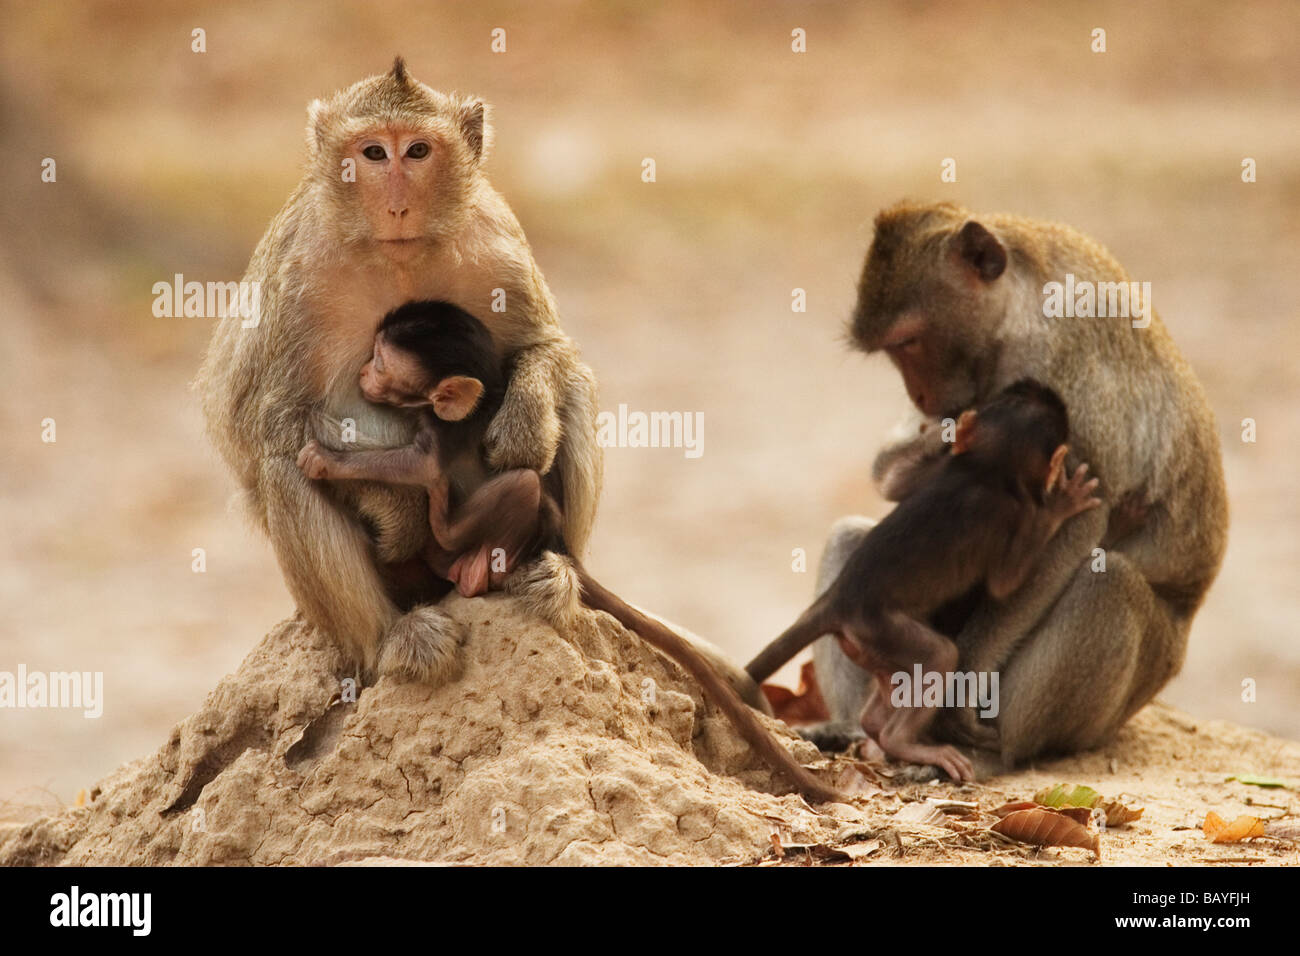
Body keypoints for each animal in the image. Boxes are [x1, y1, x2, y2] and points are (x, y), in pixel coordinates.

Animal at [195, 58, 603, 686]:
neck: (398, 254)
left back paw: (554, 575)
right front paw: (401, 512)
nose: (397, 205)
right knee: (283, 468)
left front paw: (524, 426)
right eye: (372, 153)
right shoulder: (298, 278)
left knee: (574, 389)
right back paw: (393, 638)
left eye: (416, 151)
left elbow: (545, 346)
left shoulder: (499, 244)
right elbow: (271, 426)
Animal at [295, 300, 842, 804]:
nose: (364, 372)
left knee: (519, 487)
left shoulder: (434, 427)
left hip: (481, 538)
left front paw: (326, 461)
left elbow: (420, 463)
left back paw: (462, 555)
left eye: (382, 363)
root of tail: (558, 541)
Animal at [745, 380, 1101, 782]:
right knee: (941, 656)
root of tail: (839, 599)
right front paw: (1061, 506)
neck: (986, 466)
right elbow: (1003, 584)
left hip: (873, 647)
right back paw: (904, 741)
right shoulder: (1012, 513)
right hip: (883, 630)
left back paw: (876, 726)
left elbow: (896, 483)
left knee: (882, 700)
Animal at [801, 200, 1228, 770]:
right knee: (851, 537)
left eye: (908, 342)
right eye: (895, 349)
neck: (1021, 305)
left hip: (1138, 684)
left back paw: (1001, 750)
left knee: (1107, 581)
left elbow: (1081, 524)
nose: (919, 396)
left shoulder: (1064, 367)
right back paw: (862, 730)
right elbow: (900, 484)